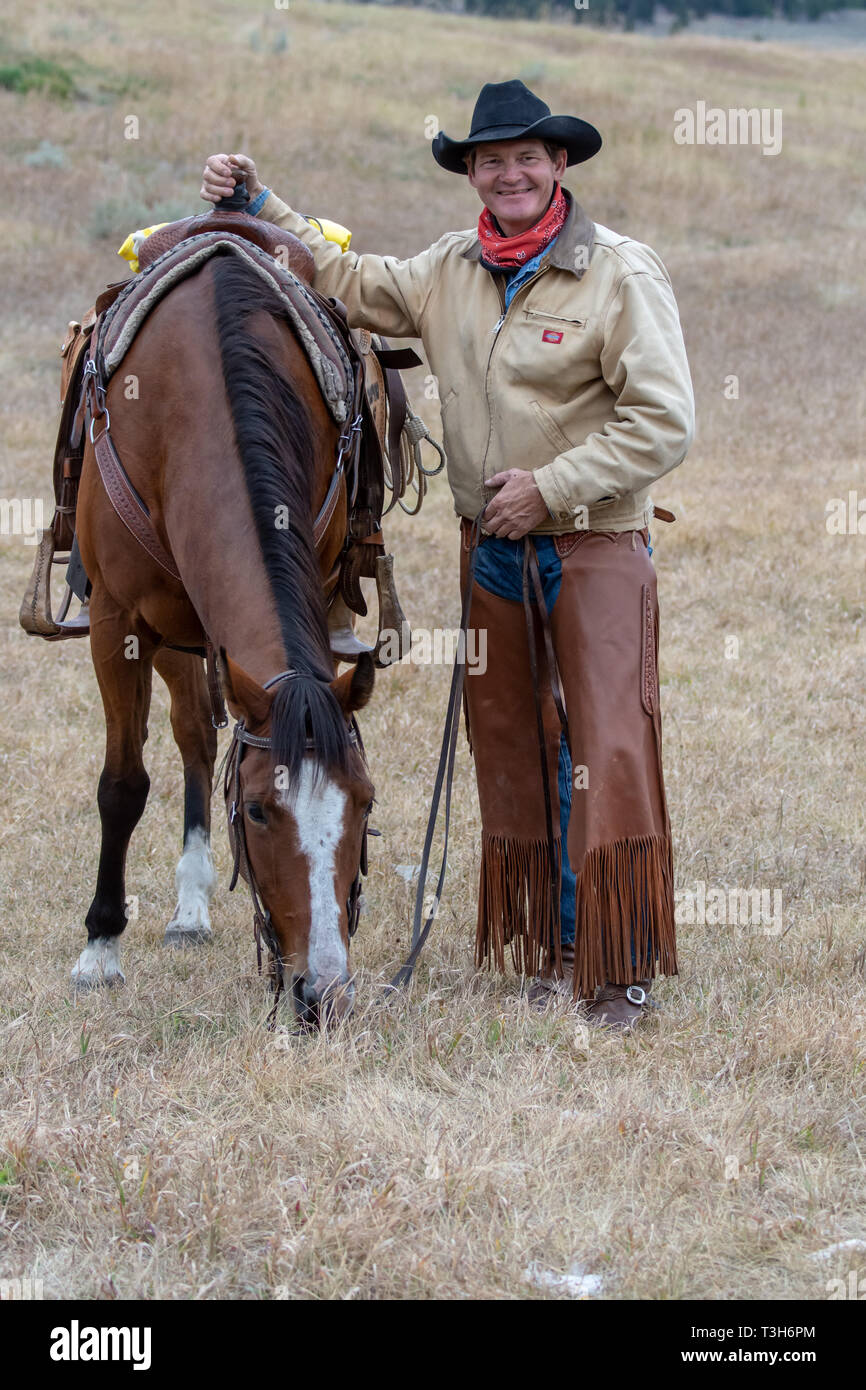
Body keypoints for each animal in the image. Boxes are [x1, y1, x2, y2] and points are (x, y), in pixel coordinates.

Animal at [71, 247, 376, 1025]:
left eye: (364, 802)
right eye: (261, 811)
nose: (323, 993)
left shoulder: (315, 589)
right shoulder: (117, 622)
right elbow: (122, 784)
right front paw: (99, 951)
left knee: (198, 738)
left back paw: (190, 906)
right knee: (188, 737)